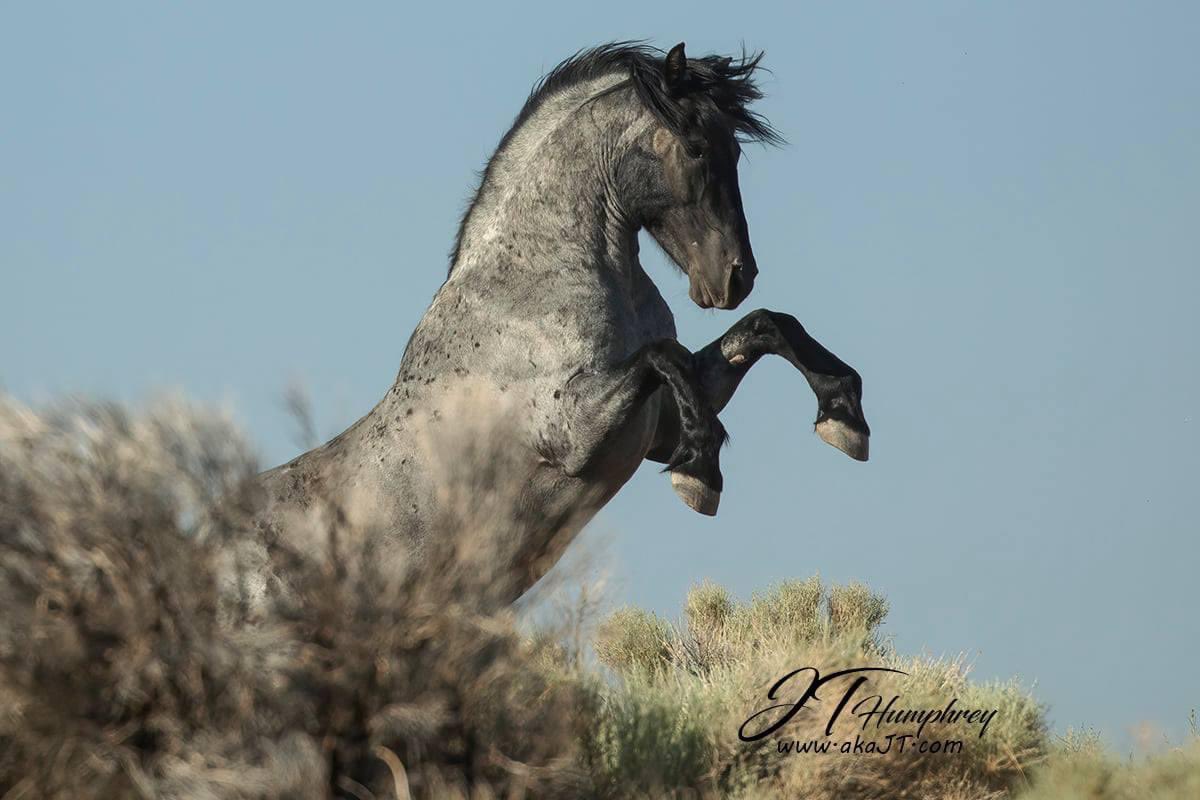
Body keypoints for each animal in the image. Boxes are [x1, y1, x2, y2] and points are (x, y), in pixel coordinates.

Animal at [257, 42, 870, 601]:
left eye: (736, 152)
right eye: (697, 148)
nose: (735, 278)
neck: (537, 283)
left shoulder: (658, 424)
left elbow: (766, 327)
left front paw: (843, 417)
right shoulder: (571, 432)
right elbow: (664, 356)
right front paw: (699, 473)